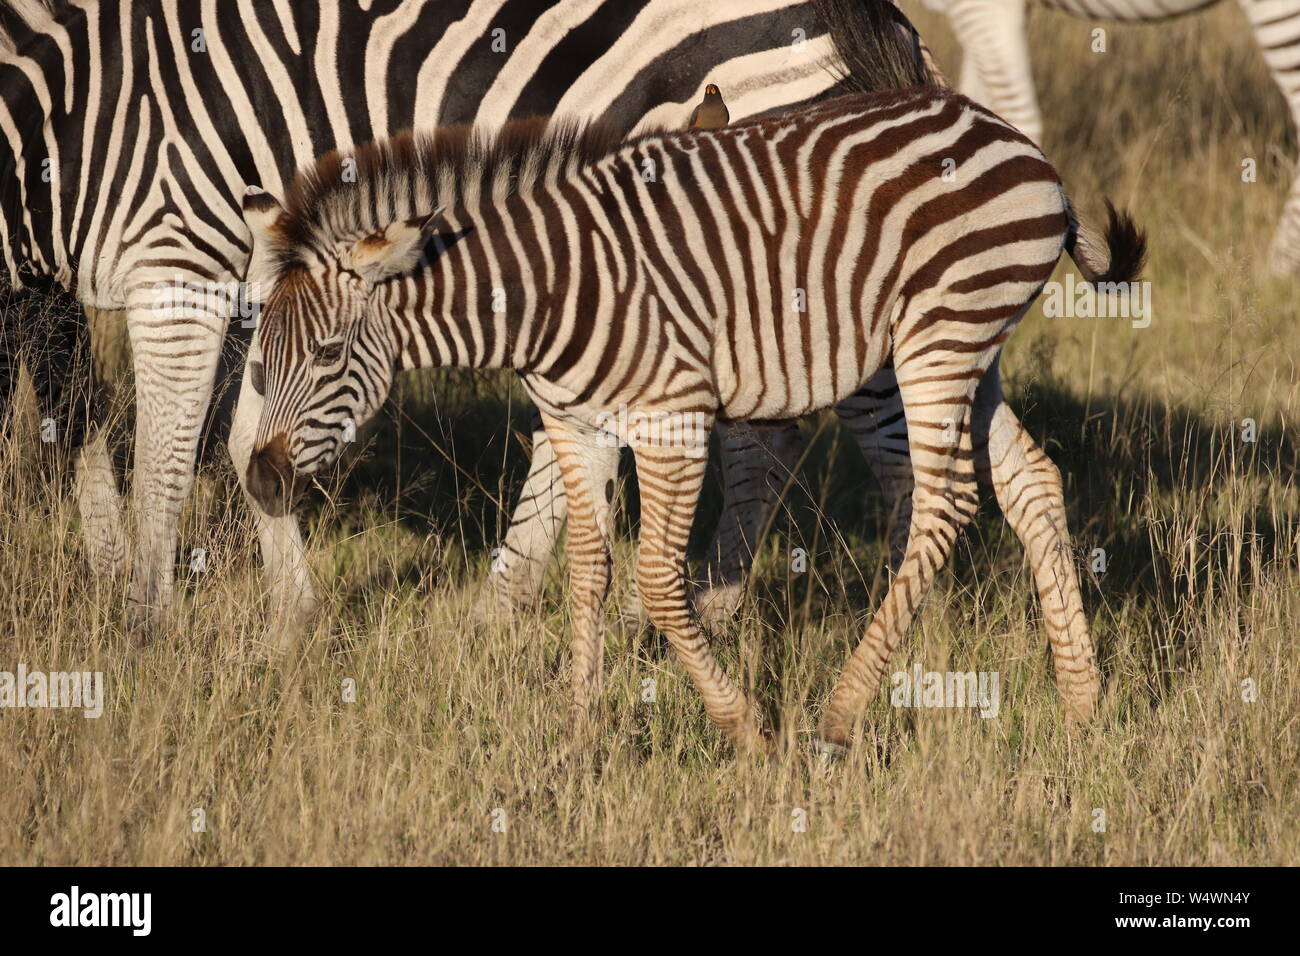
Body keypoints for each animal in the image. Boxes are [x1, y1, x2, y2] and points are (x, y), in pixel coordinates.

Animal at [0, 0, 927, 635]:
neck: (64, 108)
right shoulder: (253, 276)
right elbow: (210, 433)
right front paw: (290, 618)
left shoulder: (178, 256)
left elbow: (162, 458)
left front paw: (142, 626)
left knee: (798, 434)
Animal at [237, 48, 1142, 750]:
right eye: (257, 363)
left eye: (325, 354)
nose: (263, 482)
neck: (547, 288)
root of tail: (1018, 144)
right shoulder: (574, 426)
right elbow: (587, 569)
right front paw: (579, 730)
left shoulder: (672, 421)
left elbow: (661, 582)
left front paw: (745, 729)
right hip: (970, 354)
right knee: (1030, 482)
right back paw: (1082, 706)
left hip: (937, 339)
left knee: (946, 499)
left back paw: (839, 717)